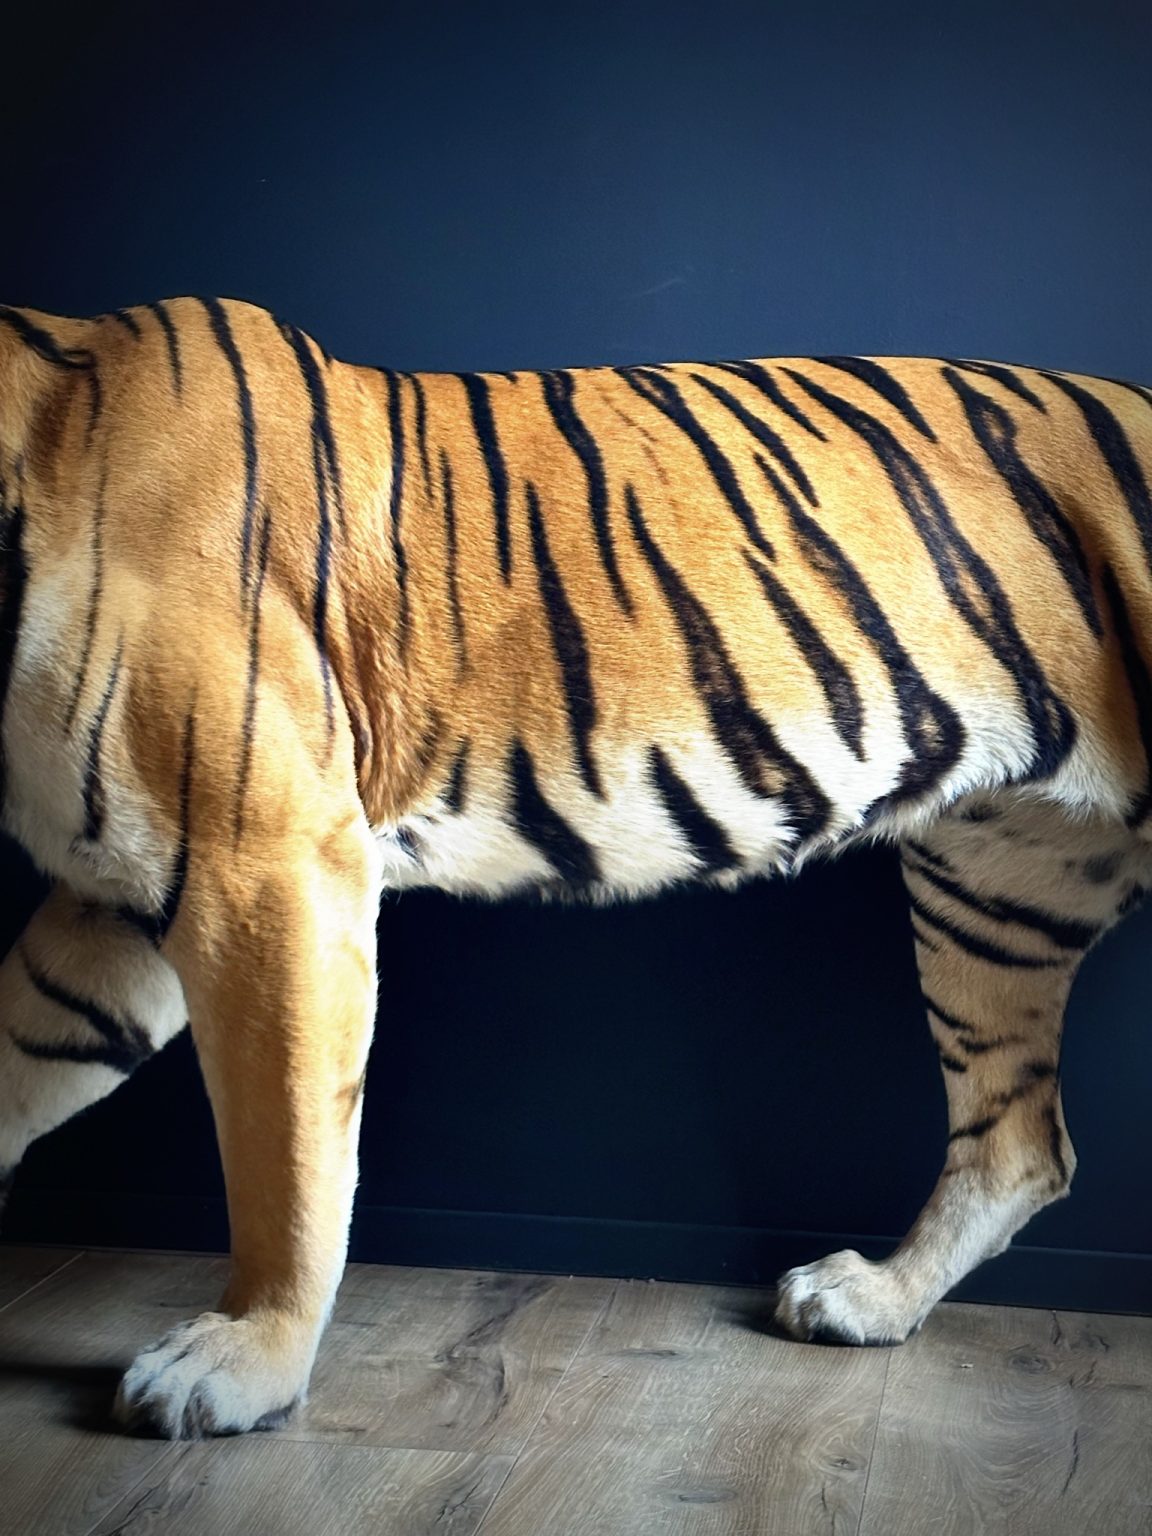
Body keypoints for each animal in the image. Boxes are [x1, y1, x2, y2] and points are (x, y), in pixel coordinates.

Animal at [0, 297, 1149, 1440]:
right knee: (1020, 1143)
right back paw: (870, 1301)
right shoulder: (122, 887)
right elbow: (26, 1049)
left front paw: (247, 1359)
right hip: (993, 884)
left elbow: (285, 1152)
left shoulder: (265, 862)